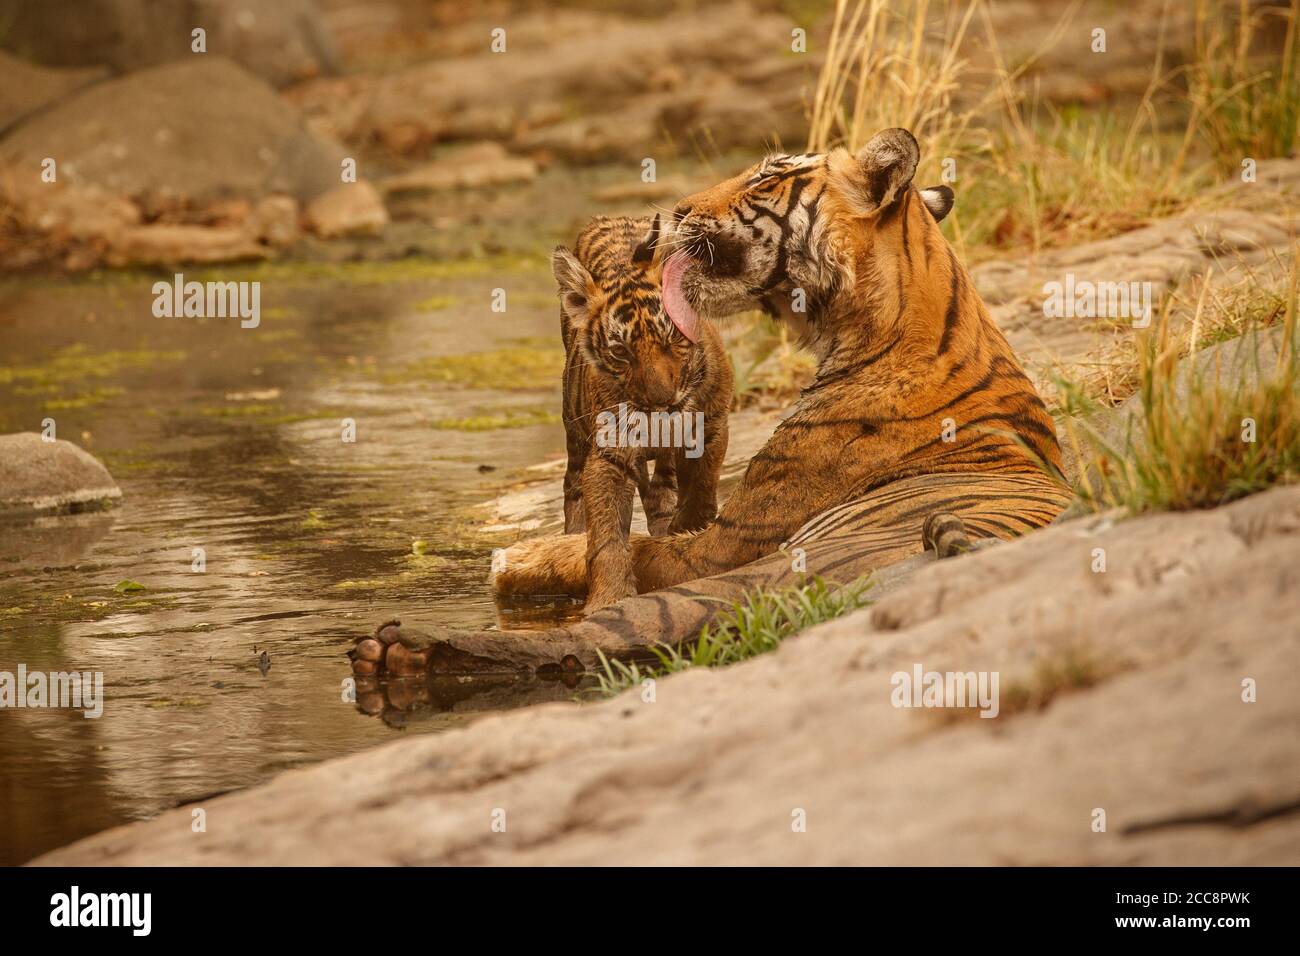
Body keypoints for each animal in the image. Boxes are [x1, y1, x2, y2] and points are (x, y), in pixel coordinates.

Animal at [550, 214, 733, 611]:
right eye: (621, 352)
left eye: (673, 336)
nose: (663, 400)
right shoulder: (609, 456)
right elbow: (606, 534)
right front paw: (609, 598)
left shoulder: (712, 423)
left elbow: (701, 483)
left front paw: (688, 529)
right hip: (574, 435)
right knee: (573, 491)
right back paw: (570, 538)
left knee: (663, 487)